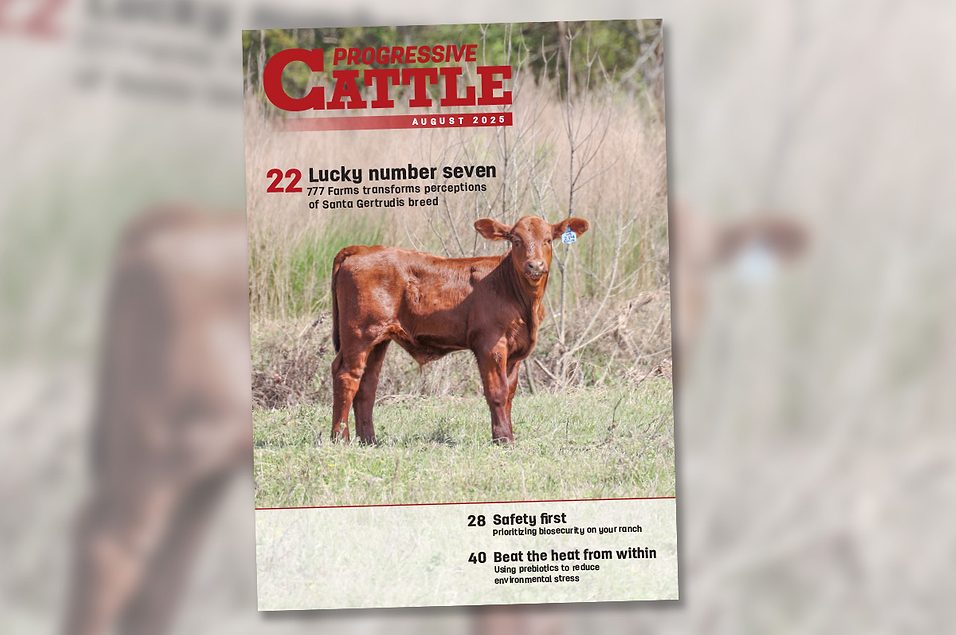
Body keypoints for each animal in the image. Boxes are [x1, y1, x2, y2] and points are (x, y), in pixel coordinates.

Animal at [330, 215, 590, 444]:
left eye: (548, 239)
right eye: (516, 240)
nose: (534, 265)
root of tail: (362, 249)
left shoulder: (516, 351)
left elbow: (510, 394)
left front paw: (507, 435)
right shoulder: (490, 345)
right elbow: (497, 392)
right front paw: (504, 440)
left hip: (379, 338)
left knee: (367, 385)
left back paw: (369, 440)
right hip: (359, 334)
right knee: (347, 376)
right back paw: (340, 438)